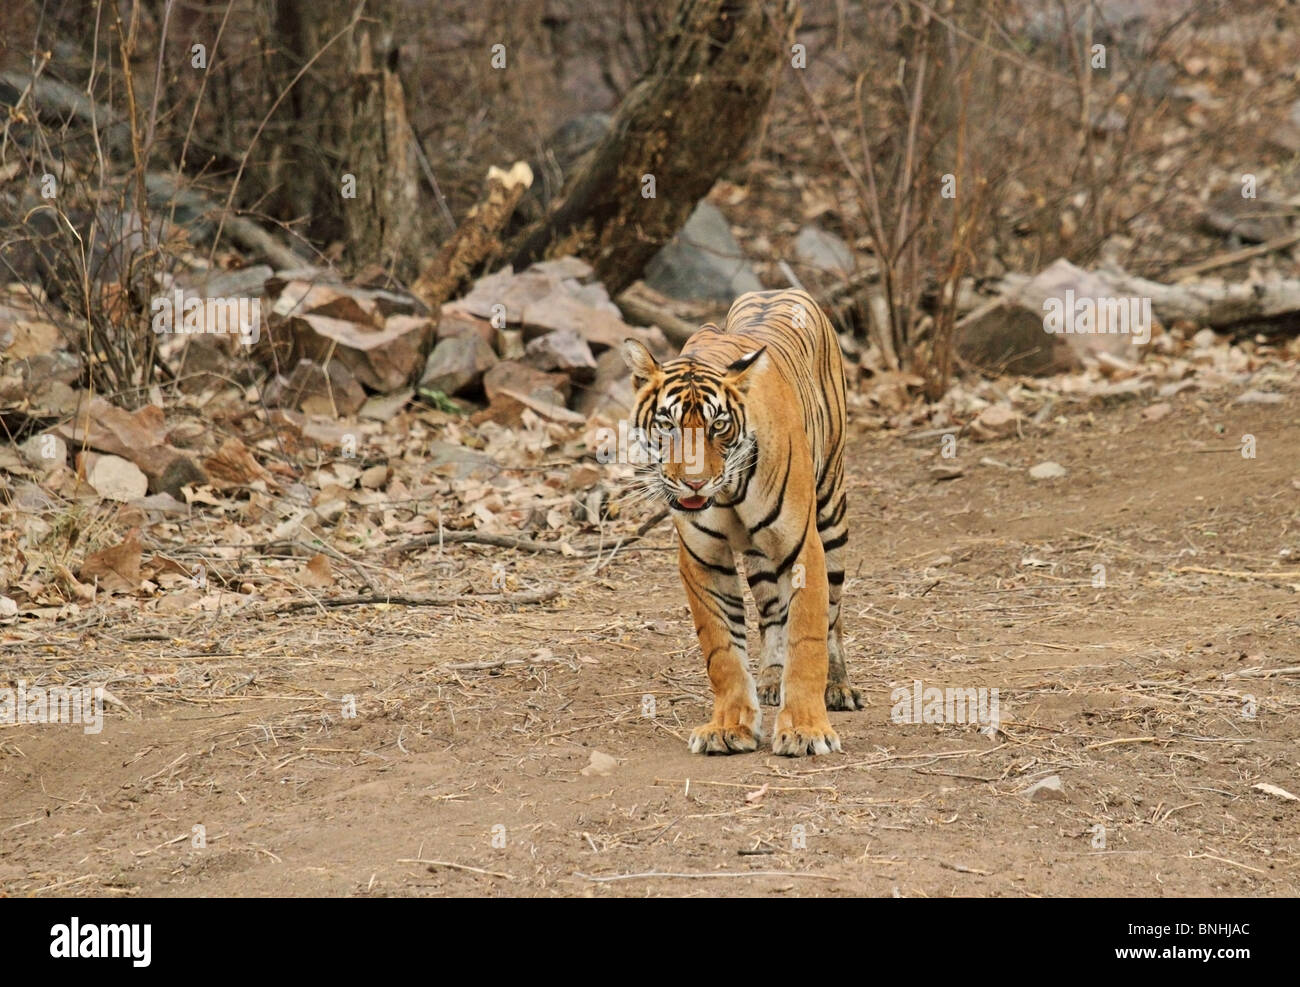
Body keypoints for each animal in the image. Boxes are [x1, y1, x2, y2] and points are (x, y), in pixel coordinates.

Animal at [621, 288, 862, 757]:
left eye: (718, 426)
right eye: (666, 425)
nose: (694, 482)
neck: (728, 491)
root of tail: (778, 289)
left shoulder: (801, 545)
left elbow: (807, 636)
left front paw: (805, 730)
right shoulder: (704, 558)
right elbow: (723, 650)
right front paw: (729, 727)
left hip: (831, 511)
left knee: (833, 613)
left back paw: (839, 687)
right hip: (759, 557)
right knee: (771, 615)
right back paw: (770, 680)